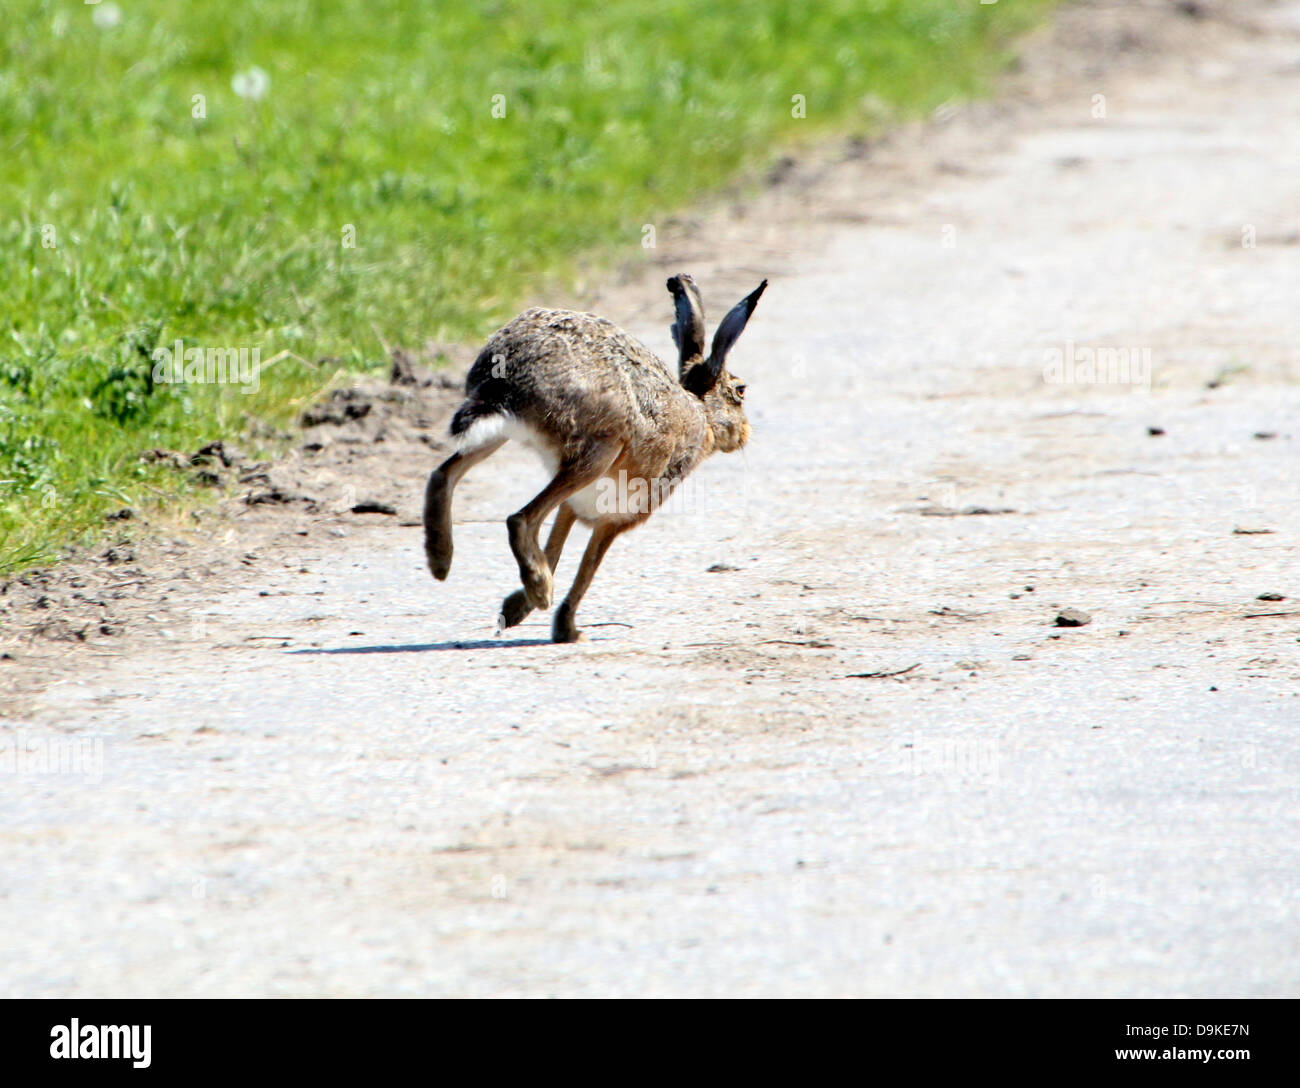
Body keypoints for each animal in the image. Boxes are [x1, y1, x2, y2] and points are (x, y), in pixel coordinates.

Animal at [423, 273, 766, 642]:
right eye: (740, 391)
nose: (746, 433)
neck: (701, 412)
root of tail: (507, 375)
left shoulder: (573, 507)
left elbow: (554, 549)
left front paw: (516, 609)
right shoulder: (616, 519)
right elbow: (586, 570)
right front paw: (567, 630)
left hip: (503, 437)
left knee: (443, 474)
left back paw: (441, 560)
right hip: (600, 452)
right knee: (520, 519)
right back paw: (540, 590)